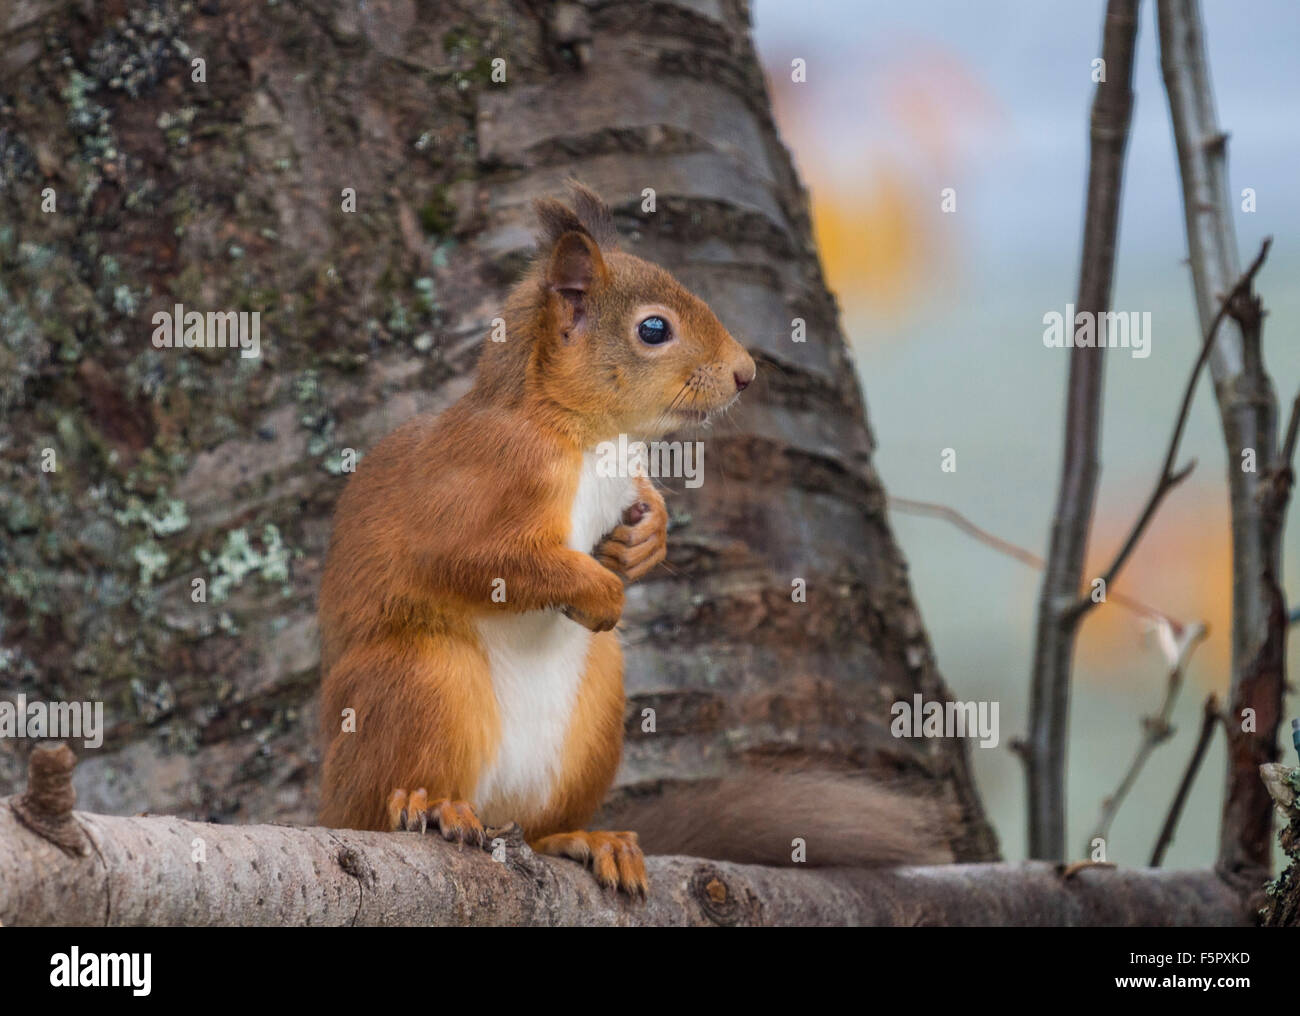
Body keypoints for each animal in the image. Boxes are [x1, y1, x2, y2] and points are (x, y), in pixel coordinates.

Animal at [318, 183, 952, 896]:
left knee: (540, 827)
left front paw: (647, 539)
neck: (593, 438)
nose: (746, 373)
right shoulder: (475, 487)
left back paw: (585, 839)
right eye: (653, 329)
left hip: (596, 708)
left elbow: (643, 508)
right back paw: (429, 806)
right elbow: (475, 560)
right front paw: (600, 589)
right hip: (421, 679)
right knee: (383, 800)